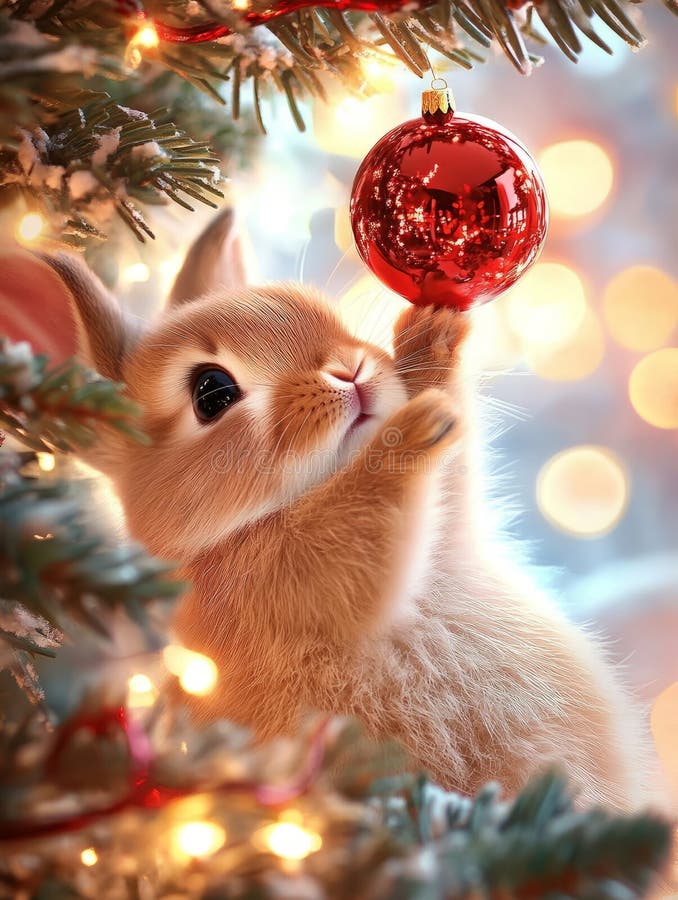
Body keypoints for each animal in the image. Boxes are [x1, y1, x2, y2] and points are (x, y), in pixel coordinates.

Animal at [0, 208, 647, 810]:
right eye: (212, 392)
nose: (349, 371)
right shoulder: (288, 582)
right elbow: (361, 539)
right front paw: (416, 426)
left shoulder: (448, 520)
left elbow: (453, 471)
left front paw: (431, 337)